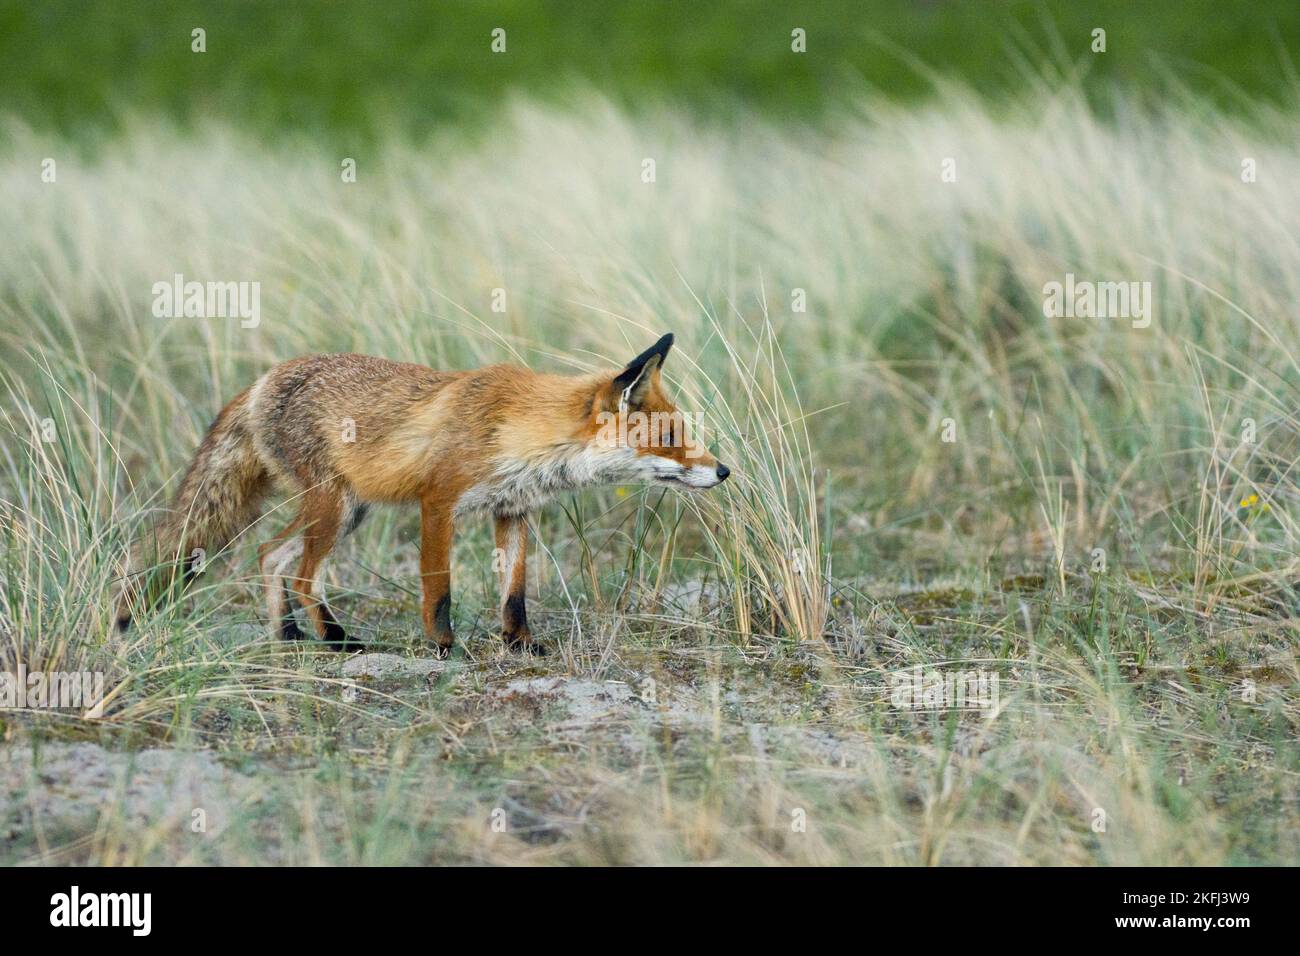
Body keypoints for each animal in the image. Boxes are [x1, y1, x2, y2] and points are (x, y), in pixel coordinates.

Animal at [115, 333, 730, 656]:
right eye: (670, 439)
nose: (724, 470)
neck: (520, 431)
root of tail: (264, 379)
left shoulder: (514, 510)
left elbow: (514, 593)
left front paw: (519, 645)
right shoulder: (439, 503)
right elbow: (439, 589)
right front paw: (442, 647)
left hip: (347, 511)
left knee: (271, 554)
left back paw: (286, 635)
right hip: (335, 508)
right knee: (303, 573)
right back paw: (335, 639)